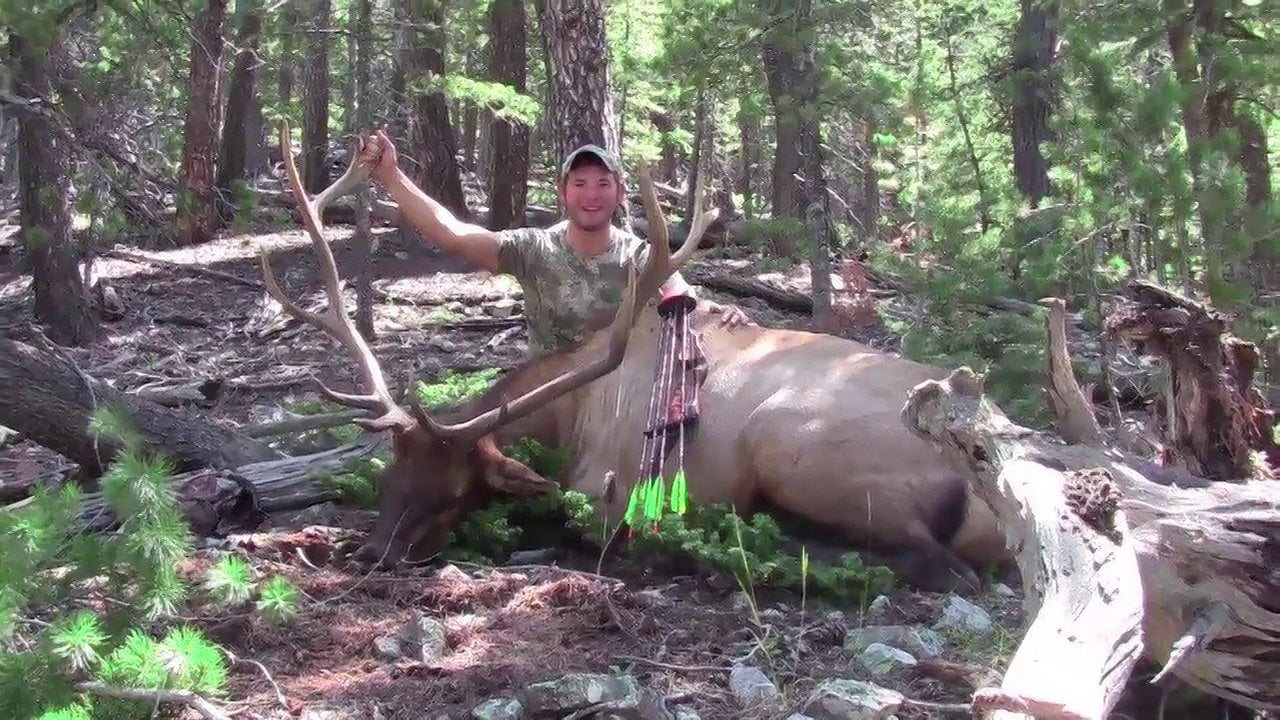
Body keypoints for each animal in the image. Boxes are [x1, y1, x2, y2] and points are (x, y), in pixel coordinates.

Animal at [261, 121, 1011, 593]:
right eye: (392, 475)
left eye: (449, 492)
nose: (372, 554)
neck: (569, 418)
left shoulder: (608, 492)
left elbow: (583, 528)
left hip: (797, 447)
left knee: (932, 564)